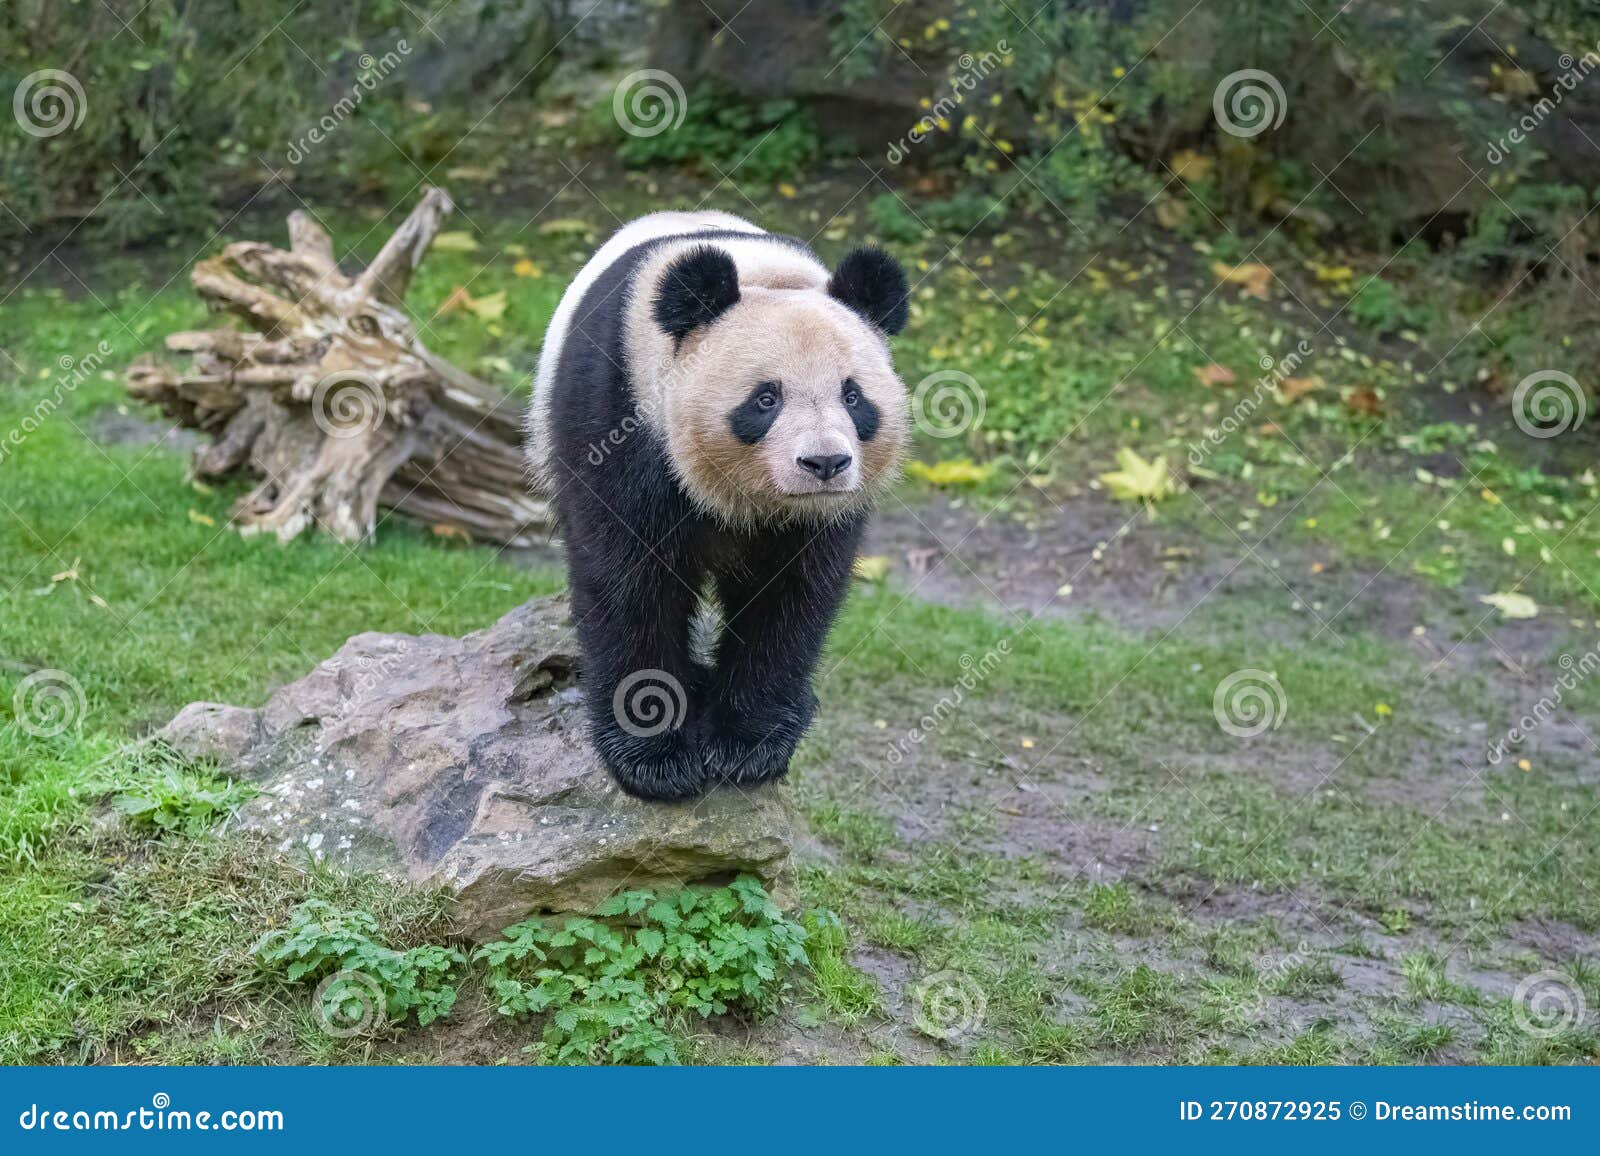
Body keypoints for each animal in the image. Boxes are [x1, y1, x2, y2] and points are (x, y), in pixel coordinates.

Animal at [526, 210, 912, 802]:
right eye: (766, 398)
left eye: (853, 397)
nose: (825, 463)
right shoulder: (614, 418)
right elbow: (626, 582)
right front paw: (656, 756)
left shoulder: (822, 516)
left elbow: (790, 597)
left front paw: (747, 745)